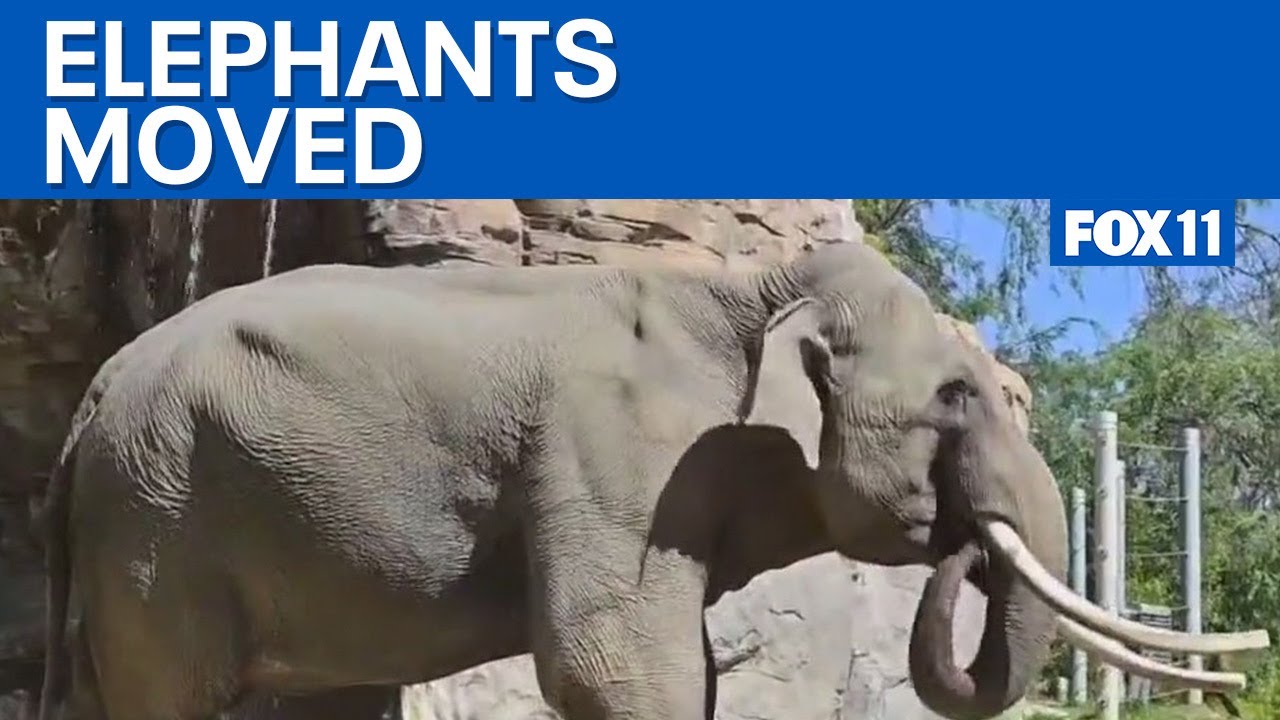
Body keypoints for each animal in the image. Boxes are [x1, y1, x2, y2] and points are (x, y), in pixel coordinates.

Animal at [34, 240, 1266, 720]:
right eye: (957, 396)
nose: (957, 529)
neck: (747, 288)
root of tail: (90, 399)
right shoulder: (616, 460)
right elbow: (612, 664)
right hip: (160, 515)